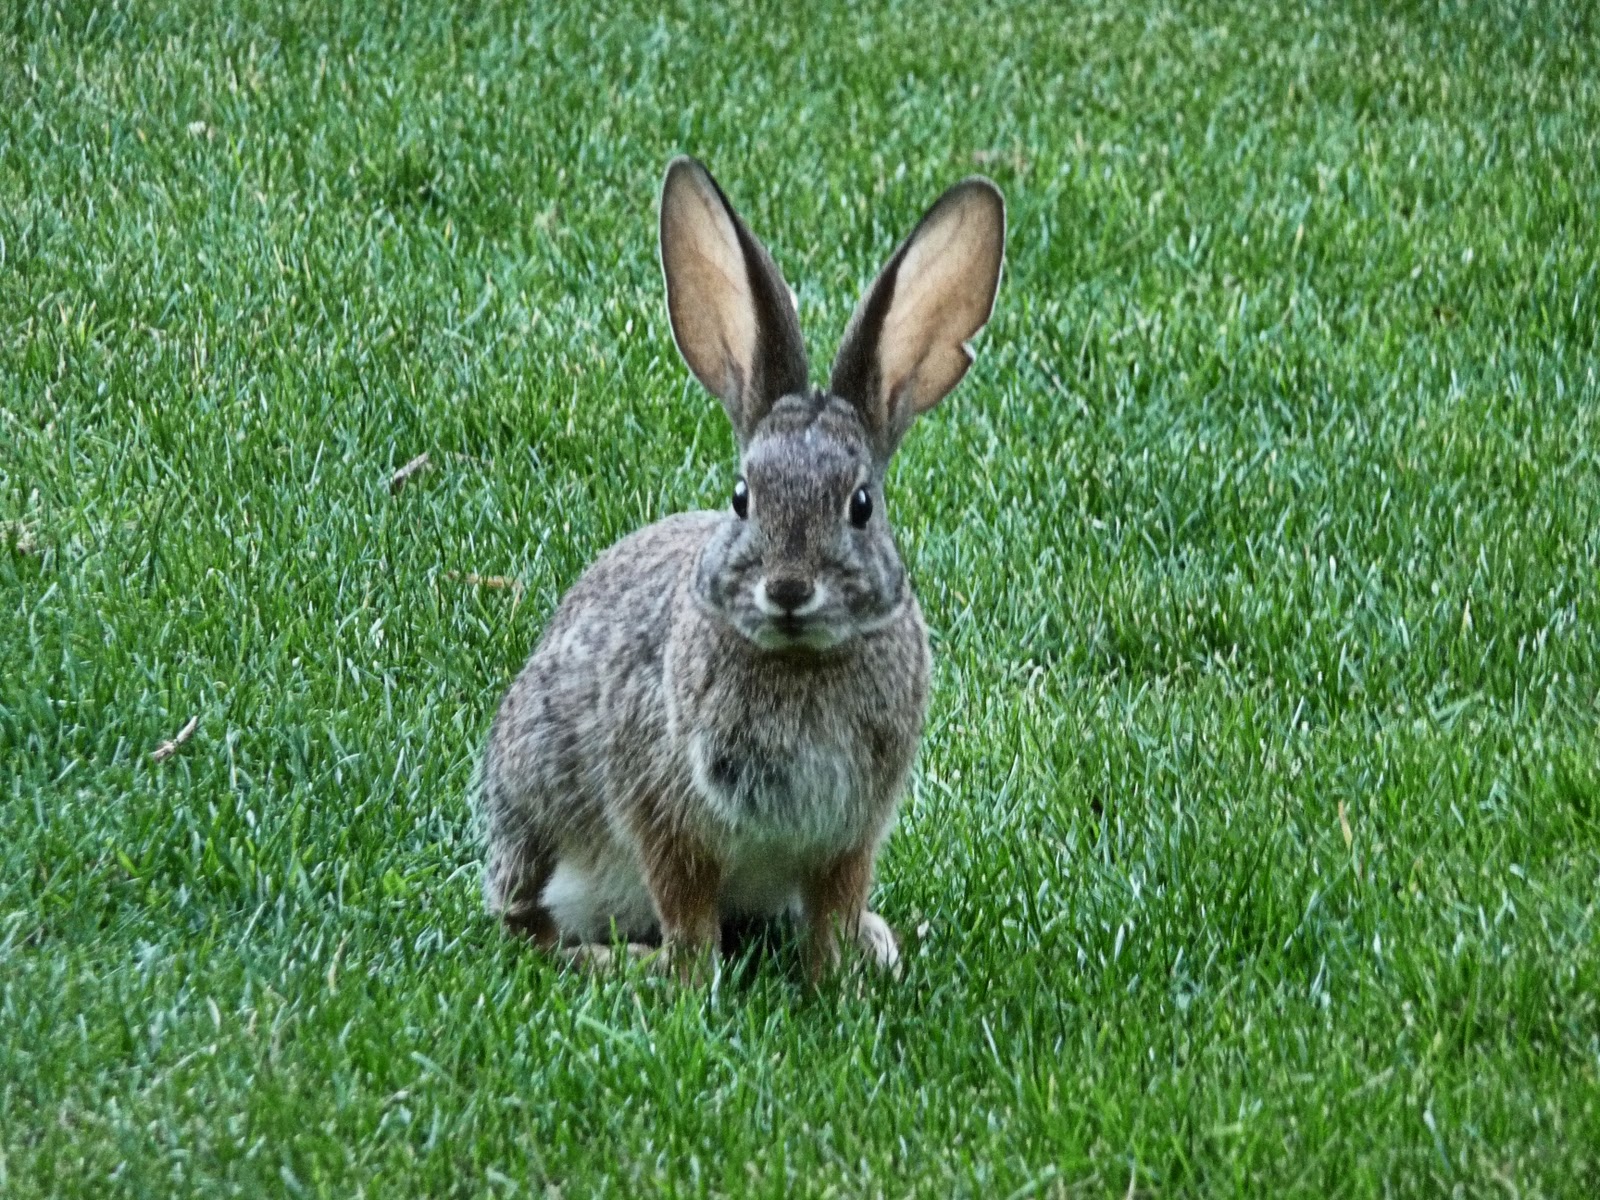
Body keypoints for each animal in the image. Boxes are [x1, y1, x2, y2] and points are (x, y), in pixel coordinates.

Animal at [477, 156, 1005, 979]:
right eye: (742, 497)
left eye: (861, 505)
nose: (787, 589)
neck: (798, 657)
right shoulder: (665, 805)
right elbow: (687, 908)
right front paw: (685, 977)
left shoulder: (850, 832)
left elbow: (834, 907)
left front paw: (839, 975)